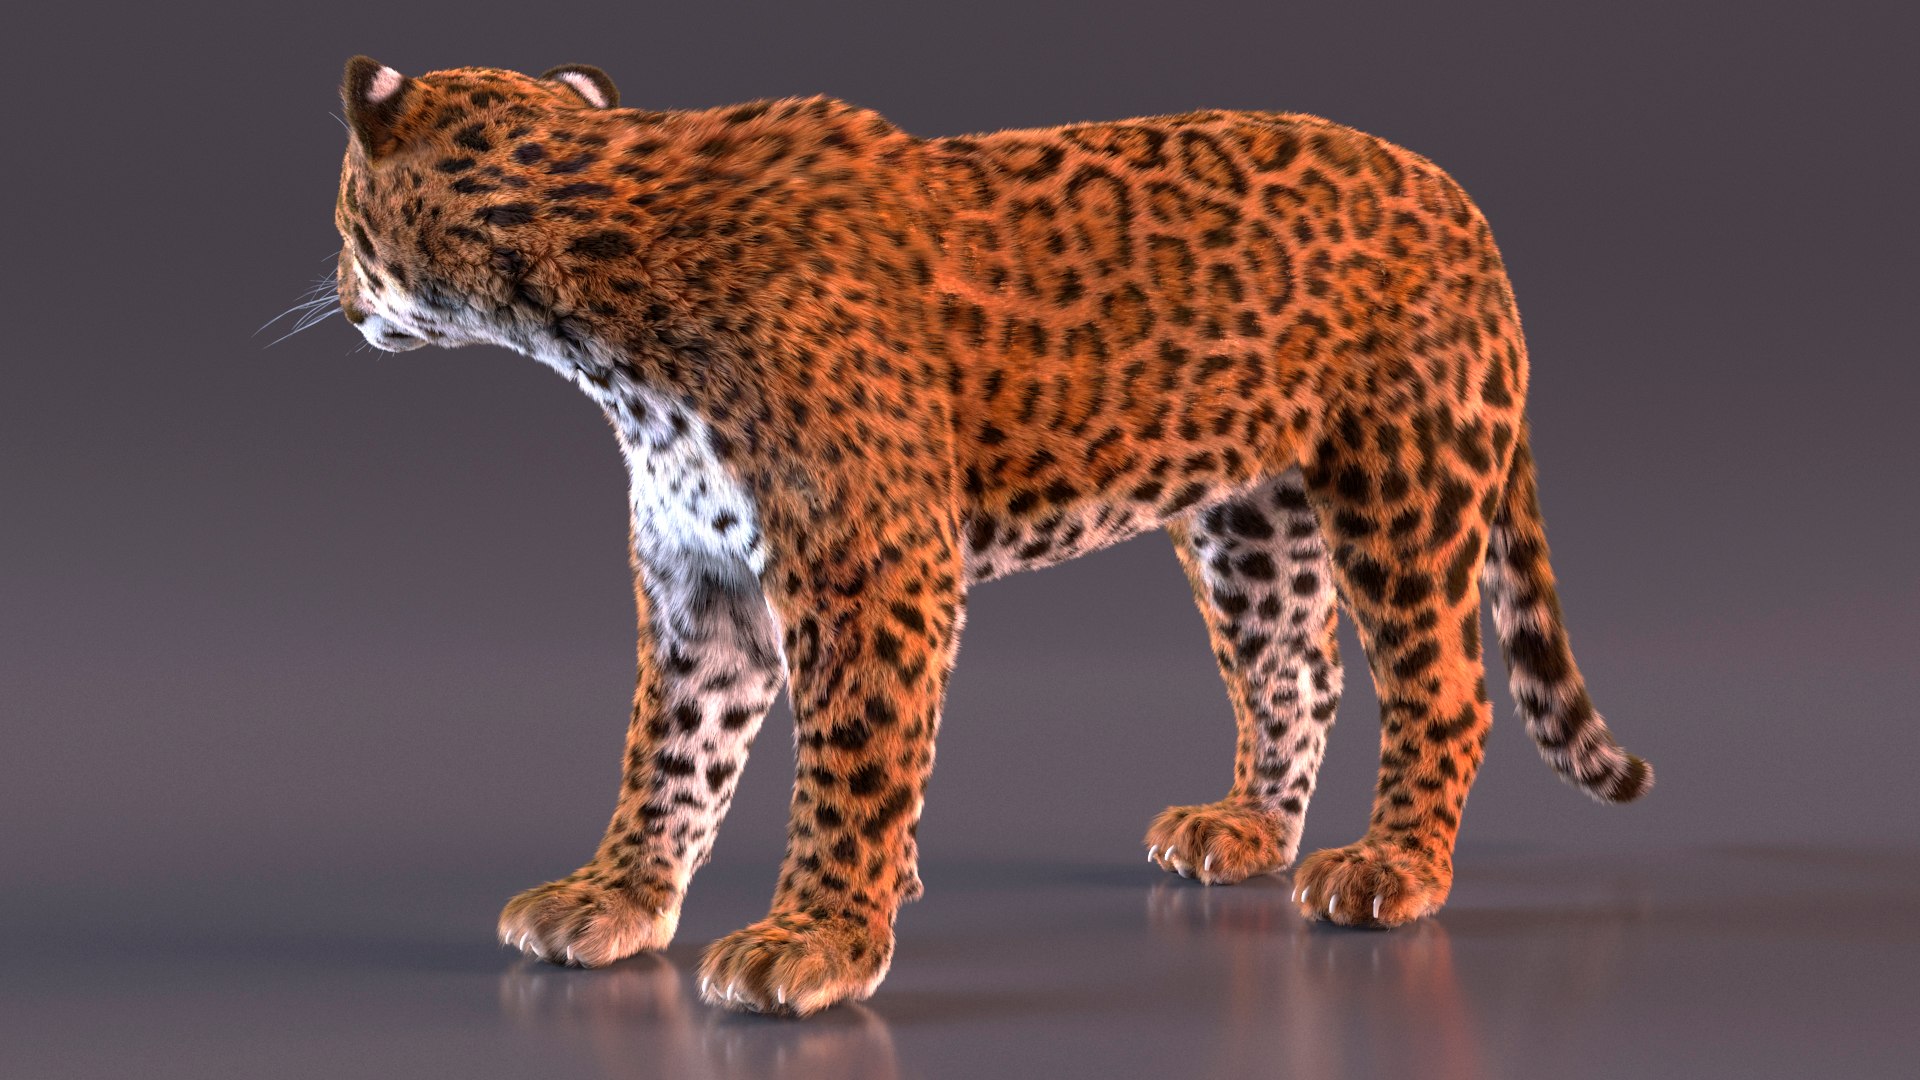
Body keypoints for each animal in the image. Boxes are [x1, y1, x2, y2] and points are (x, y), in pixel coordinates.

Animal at [323, 55, 1652, 1016]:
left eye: (339, 216)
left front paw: (817, 939)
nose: (338, 294)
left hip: (1404, 484)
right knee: (1298, 669)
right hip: (1251, 518)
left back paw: (1391, 870)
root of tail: (1459, 198)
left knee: (1446, 686)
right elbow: (671, 752)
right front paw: (618, 898)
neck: (592, 323)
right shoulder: (703, 580)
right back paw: (1249, 834)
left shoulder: (869, 568)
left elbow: (851, 761)